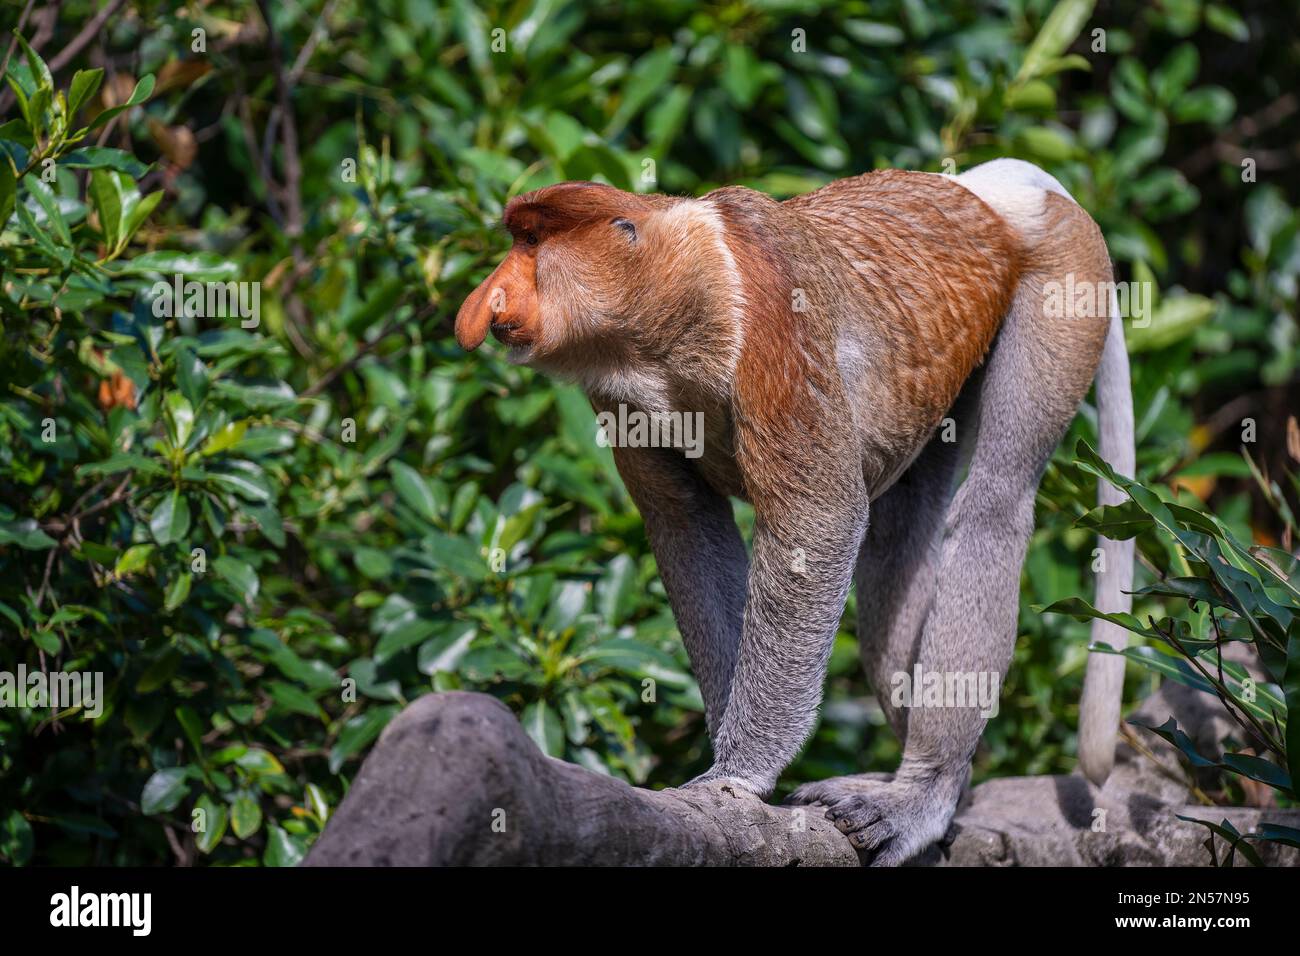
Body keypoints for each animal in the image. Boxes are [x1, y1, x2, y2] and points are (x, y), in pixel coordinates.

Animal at [454, 159, 1135, 865]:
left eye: (531, 242)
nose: (487, 301)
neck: (680, 280)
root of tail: (997, 191)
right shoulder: (618, 396)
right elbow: (686, 526)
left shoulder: (775, 317)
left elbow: (818, 519)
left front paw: (738, 774)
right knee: (899, 540)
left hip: (1065, 272)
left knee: (995, 503)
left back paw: (920, 795)